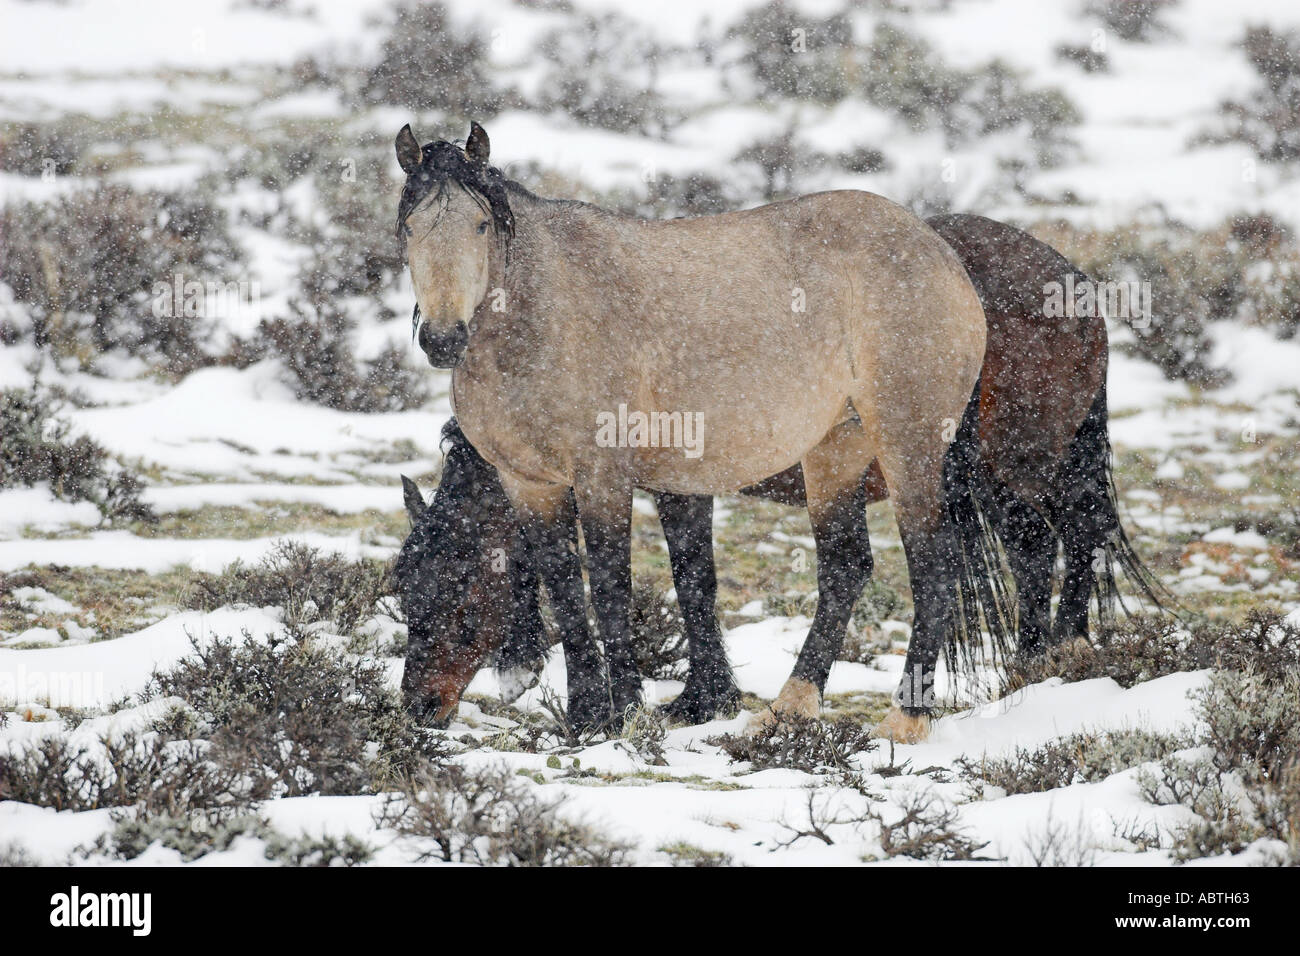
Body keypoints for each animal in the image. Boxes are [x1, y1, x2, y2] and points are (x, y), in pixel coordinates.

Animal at [393, 210, 1167, 734]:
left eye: (459, 596)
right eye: (407, 595)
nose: (420, 706)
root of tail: (1075, 285)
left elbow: (692, 584)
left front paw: (702, 699)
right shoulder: (679, 485)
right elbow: (695, 580)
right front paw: (704, 698)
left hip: (1018, 465)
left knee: (1071, 535)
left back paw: (1057, 653)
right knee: (1040, 547)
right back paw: (1026, 667)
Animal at [395, 122, 988, 740]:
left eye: (480, 224)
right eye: (409, 227)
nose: (421, 707)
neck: (542, 316)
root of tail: (942, 255)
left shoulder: (605, 477)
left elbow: (611, 586)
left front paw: (624, 715)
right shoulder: (535, 483)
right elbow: (574, 587)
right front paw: (588, 716)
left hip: (907, 448)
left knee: (933, 565)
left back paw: (905, 718)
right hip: (836, 450)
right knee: (845, 566)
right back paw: (789, 707)